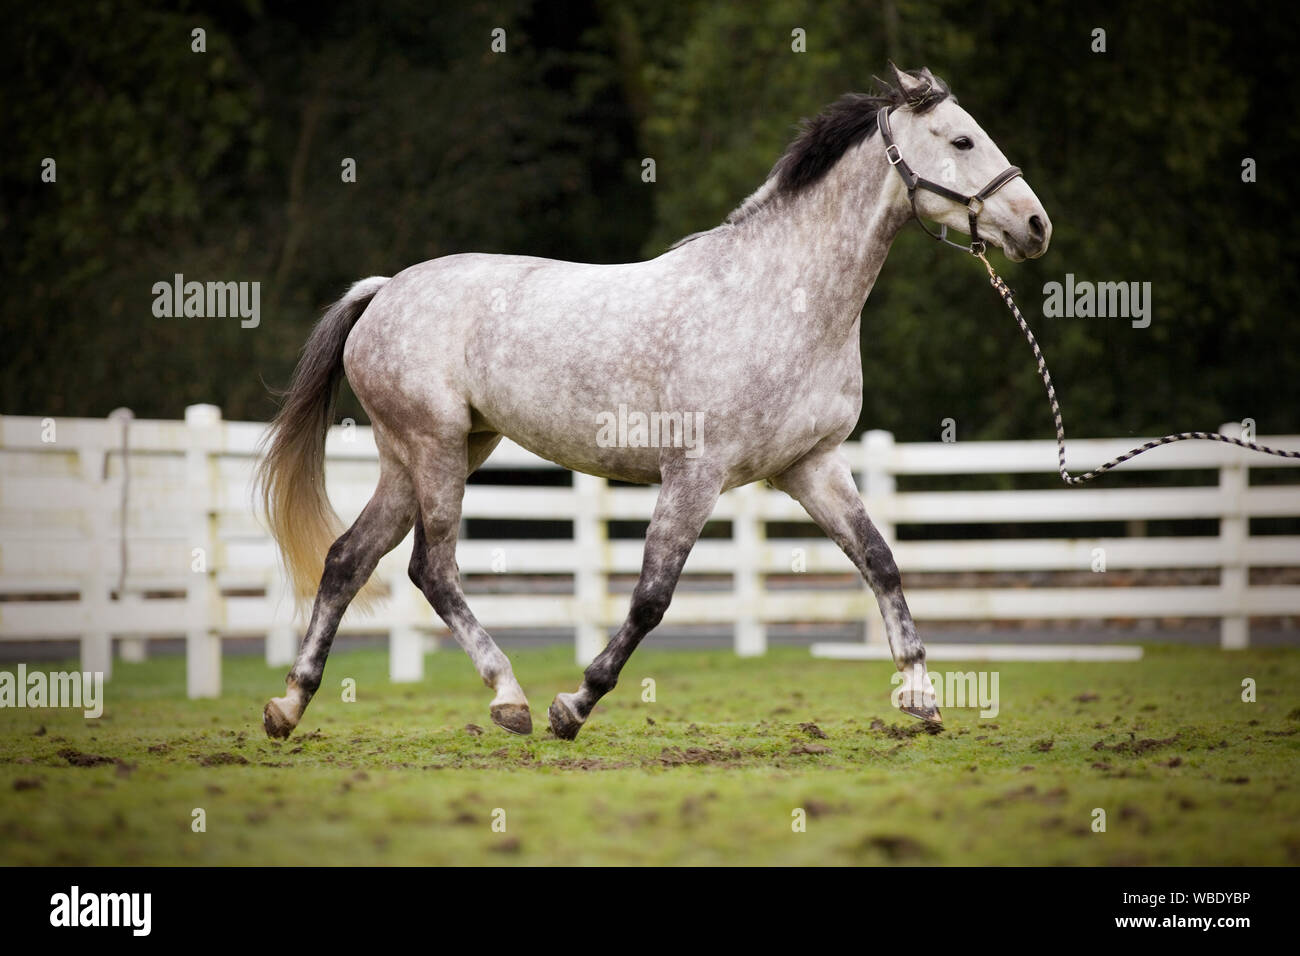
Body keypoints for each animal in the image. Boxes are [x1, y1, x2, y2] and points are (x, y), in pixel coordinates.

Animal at [256, 64, 1051, 742]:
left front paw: (921, 697)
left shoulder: (812, 466)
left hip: (421, 456)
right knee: (433, 567)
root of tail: (384, 290)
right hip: (436, 450)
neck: (780, 299)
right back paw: (510, 699)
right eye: (960, 139)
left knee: (349, 560)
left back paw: (289, 706)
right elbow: (651, 597)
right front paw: (573, 706)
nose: (1035, 226)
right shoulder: (695, 474)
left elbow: (880, 561)